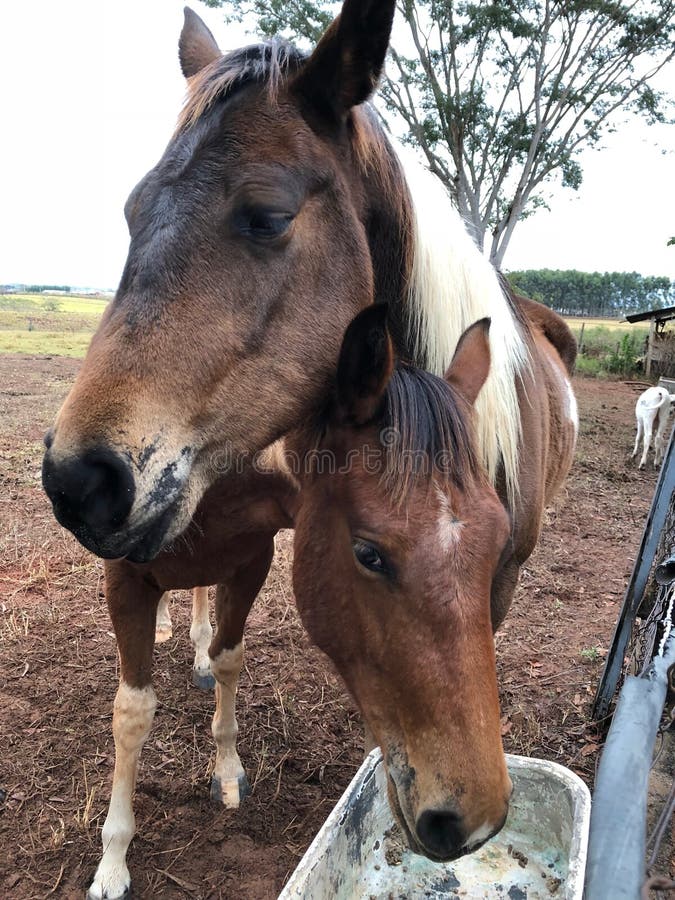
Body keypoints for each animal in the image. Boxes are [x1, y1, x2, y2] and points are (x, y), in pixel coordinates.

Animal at [38, 2, 574, 896]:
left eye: (265, 215)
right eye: (131, 214)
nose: (79, 479)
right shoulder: (139, 567)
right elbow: (133, 710)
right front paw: (113, 860)